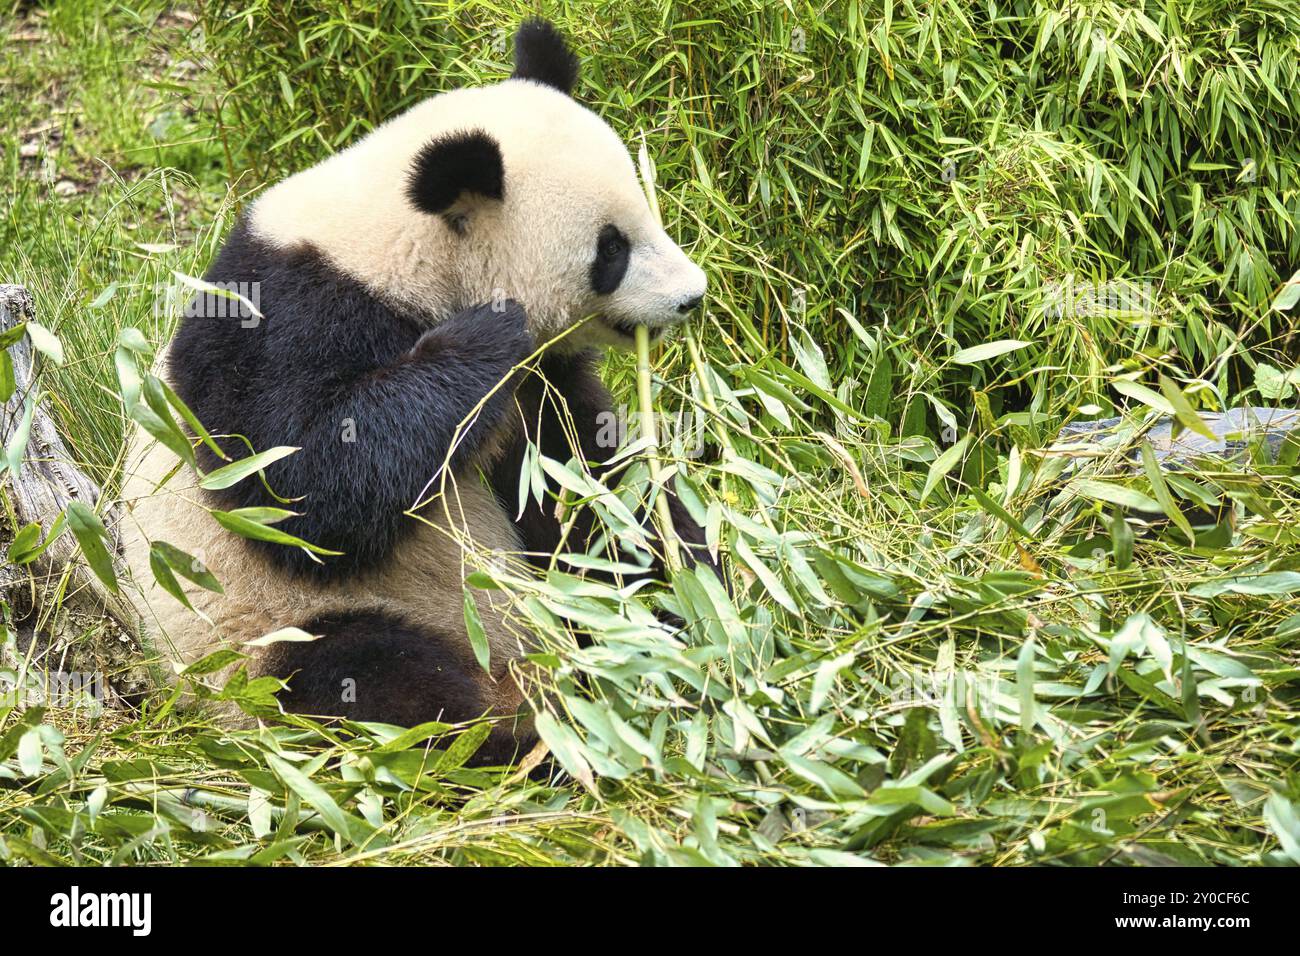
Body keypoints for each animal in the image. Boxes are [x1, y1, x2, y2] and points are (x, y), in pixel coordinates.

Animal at [119, 19, 712, 764]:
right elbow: (297, 488)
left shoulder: (539, 389)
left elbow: (586, 492)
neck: (403, 250)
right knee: (369, 683)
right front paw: (488, 333)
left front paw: (690, 591)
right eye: (611, 249)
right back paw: (525, 741)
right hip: (263, 641)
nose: (692, 296)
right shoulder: (284, 318)